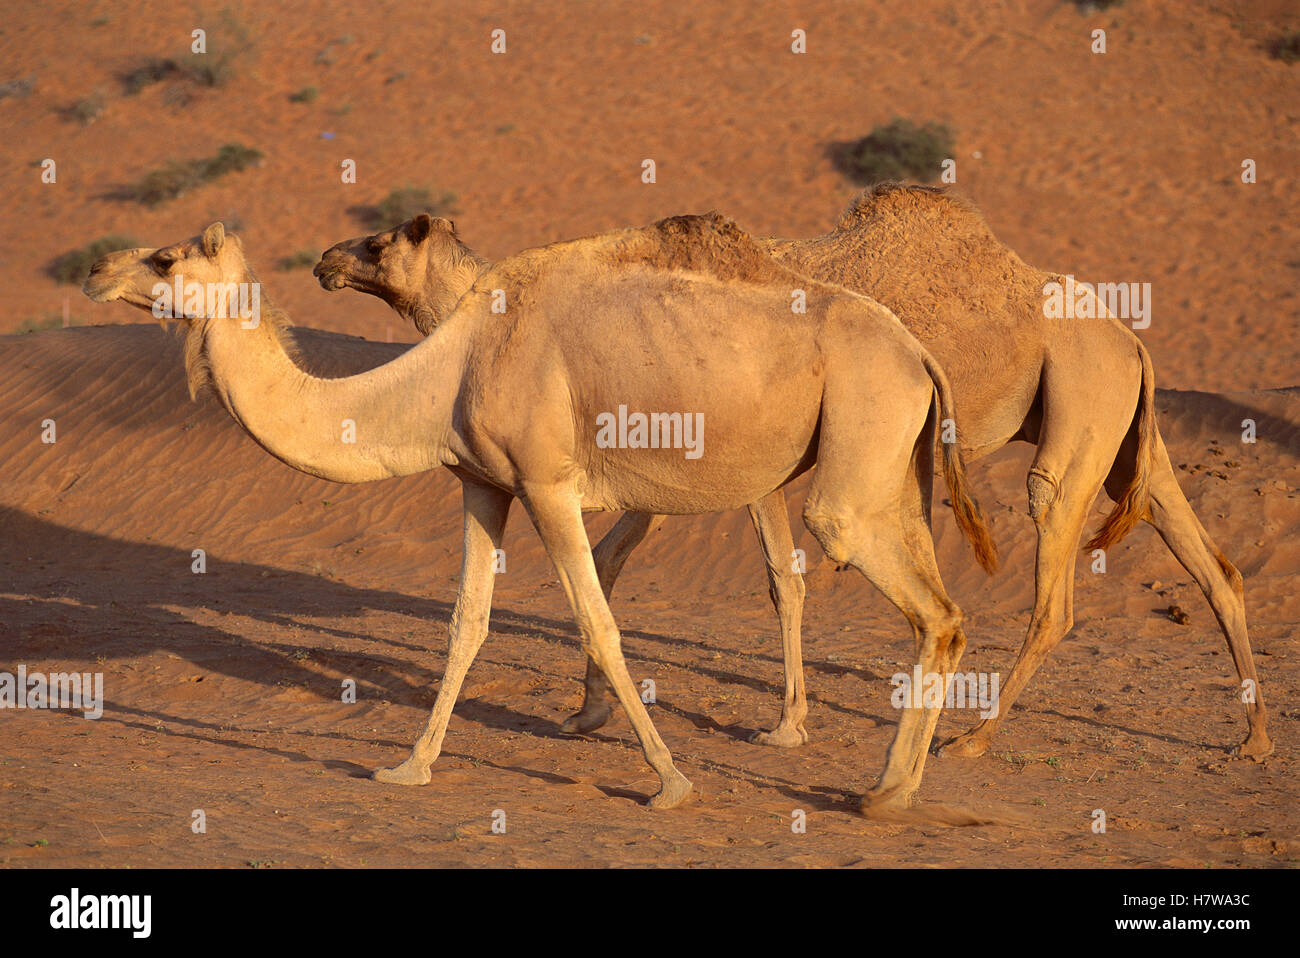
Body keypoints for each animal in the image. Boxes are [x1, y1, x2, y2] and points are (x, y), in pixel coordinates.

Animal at [83, 215, 999, 813]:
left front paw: (669, 782)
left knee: (919, 599)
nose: (94, 270)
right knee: (943, 610)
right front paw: (408, 767)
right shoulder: (482, 485)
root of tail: (919, 351)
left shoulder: (548, 483)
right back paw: (900, 783)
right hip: (895, 465)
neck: (449, 364)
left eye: (163, 257)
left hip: (854, 455)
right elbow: (467, 622)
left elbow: (599, 620)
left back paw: (882, 790)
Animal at [315, 186, 1271, 763]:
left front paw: (785, 725)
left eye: (385, 236)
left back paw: (970, 740)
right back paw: (1255, 742)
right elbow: (628, 563)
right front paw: (589, 710)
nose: (325, 258)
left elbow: (777, 579)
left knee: (1057, 586)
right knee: (1210, 563)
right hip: (1125, 437)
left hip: (1076, 420)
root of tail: (1131, 337)